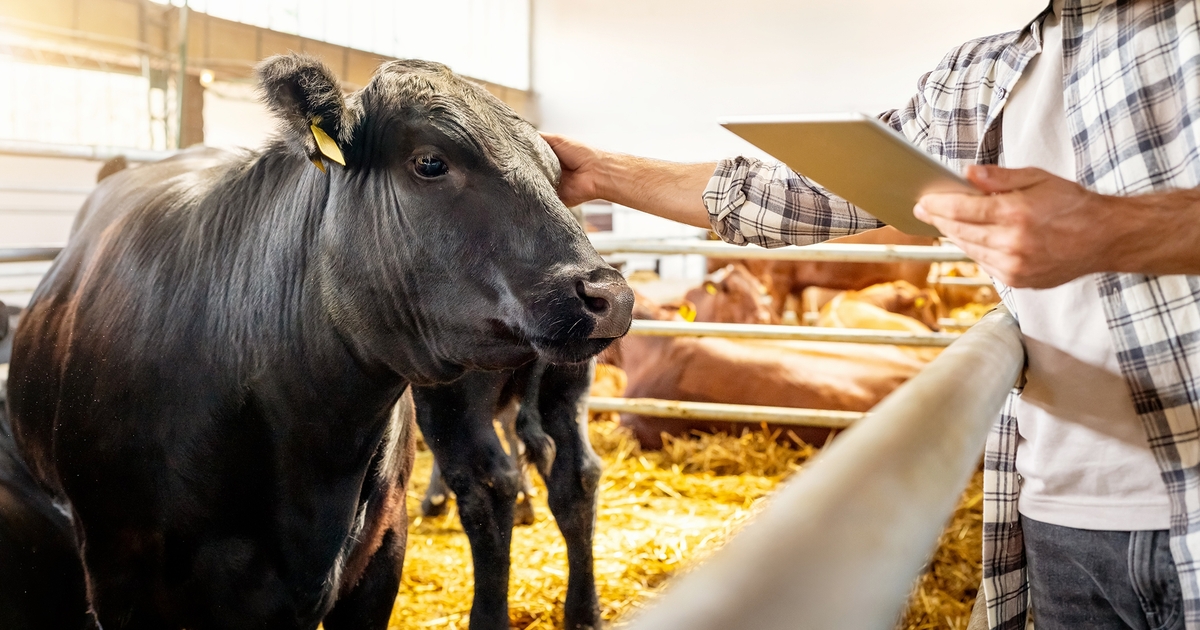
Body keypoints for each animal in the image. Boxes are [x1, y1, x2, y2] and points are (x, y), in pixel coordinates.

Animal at [6, 54, 632, 630]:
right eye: (430, 161)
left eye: (552, 170)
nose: (608, 294)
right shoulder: (119, 573)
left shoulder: (382, 551)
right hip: (558, 389)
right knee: (569, 474)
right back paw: (583, 611)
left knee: (491, 482)